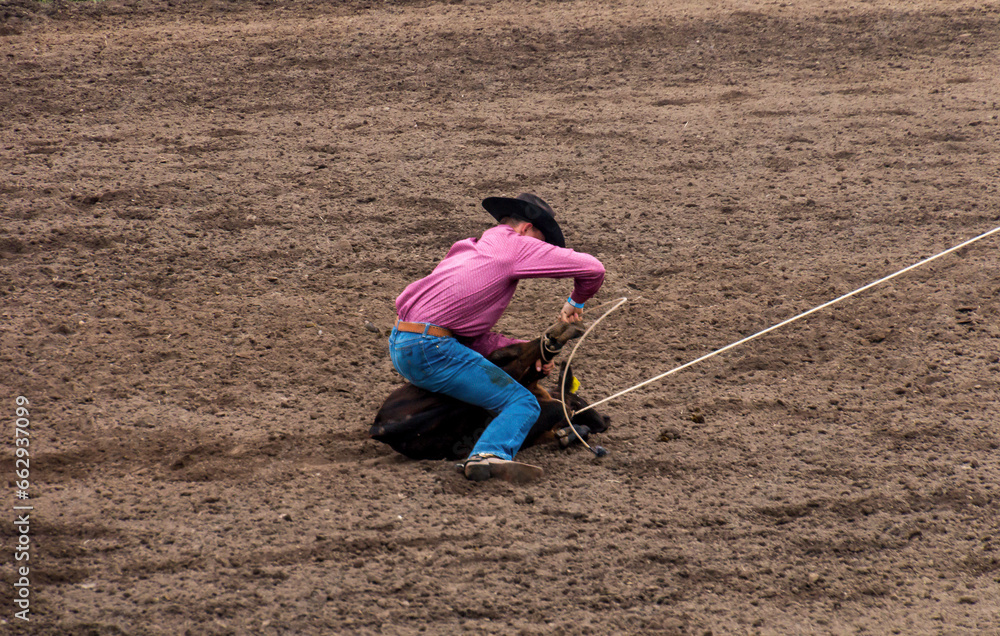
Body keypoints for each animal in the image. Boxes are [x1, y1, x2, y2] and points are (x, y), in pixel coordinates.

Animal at [370, 322, 610, 461]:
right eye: (579, 400)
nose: (605, 420)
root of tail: (381, 427)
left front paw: (568, 435)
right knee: (522, 355)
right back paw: (560, 333)